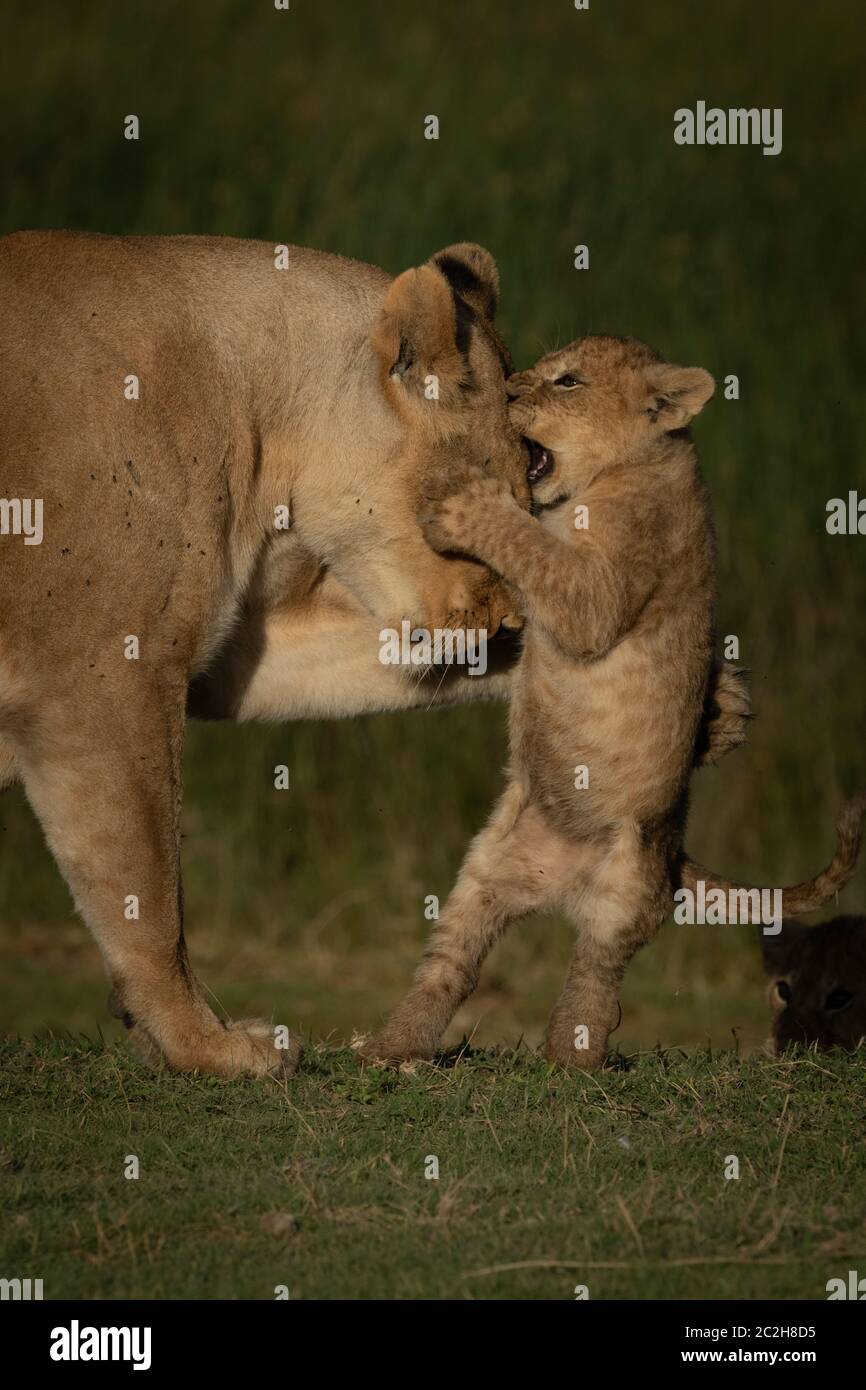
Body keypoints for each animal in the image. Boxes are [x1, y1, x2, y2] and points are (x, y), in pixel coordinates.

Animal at [363, 335, 865, 1069]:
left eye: (566, 382)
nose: (505, 389)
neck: (617, 475)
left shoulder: (597, 593)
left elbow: (537, 553)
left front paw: (466, 505)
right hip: (483, 875)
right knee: (450, 964)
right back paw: (392, 1046)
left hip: (622, 891)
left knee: (596, 981)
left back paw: (571, 1056)